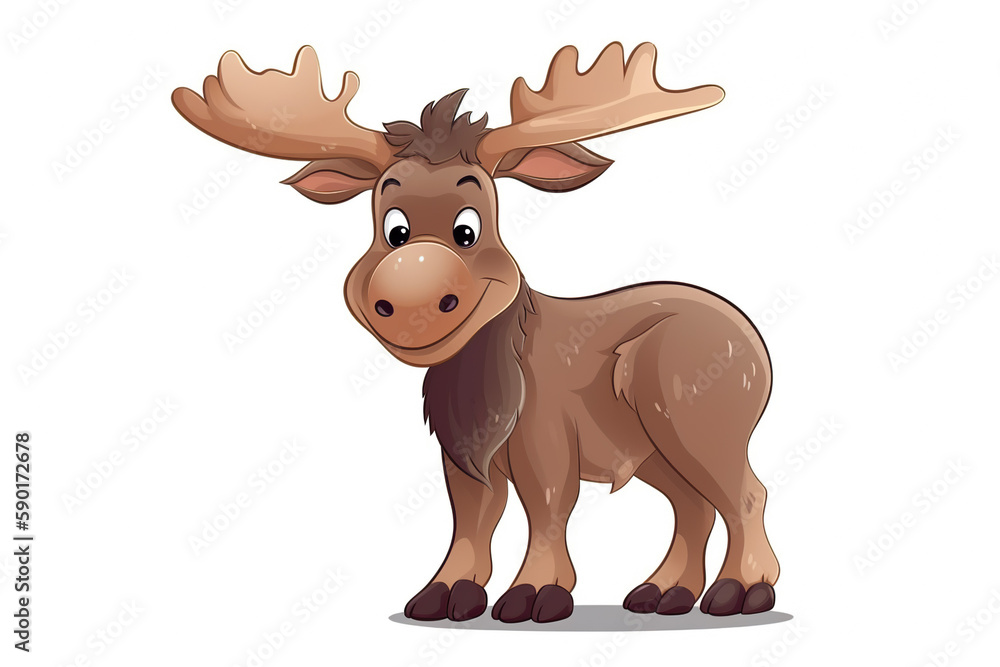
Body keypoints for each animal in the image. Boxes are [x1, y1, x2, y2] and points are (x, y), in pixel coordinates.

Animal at [172, 42, 779, 624]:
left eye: (468, 228)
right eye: (394, 228)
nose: (411, 302)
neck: (488, 381)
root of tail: (757, 345)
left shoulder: (546, 437)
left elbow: (547, 509)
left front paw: (535, 595)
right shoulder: (461, 451)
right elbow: (471, 519)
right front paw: (443, 595)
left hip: (695, 421)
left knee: (745, 493)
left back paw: (741, 591)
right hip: (651, 449)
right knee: (693, 505)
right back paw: (663, 593)